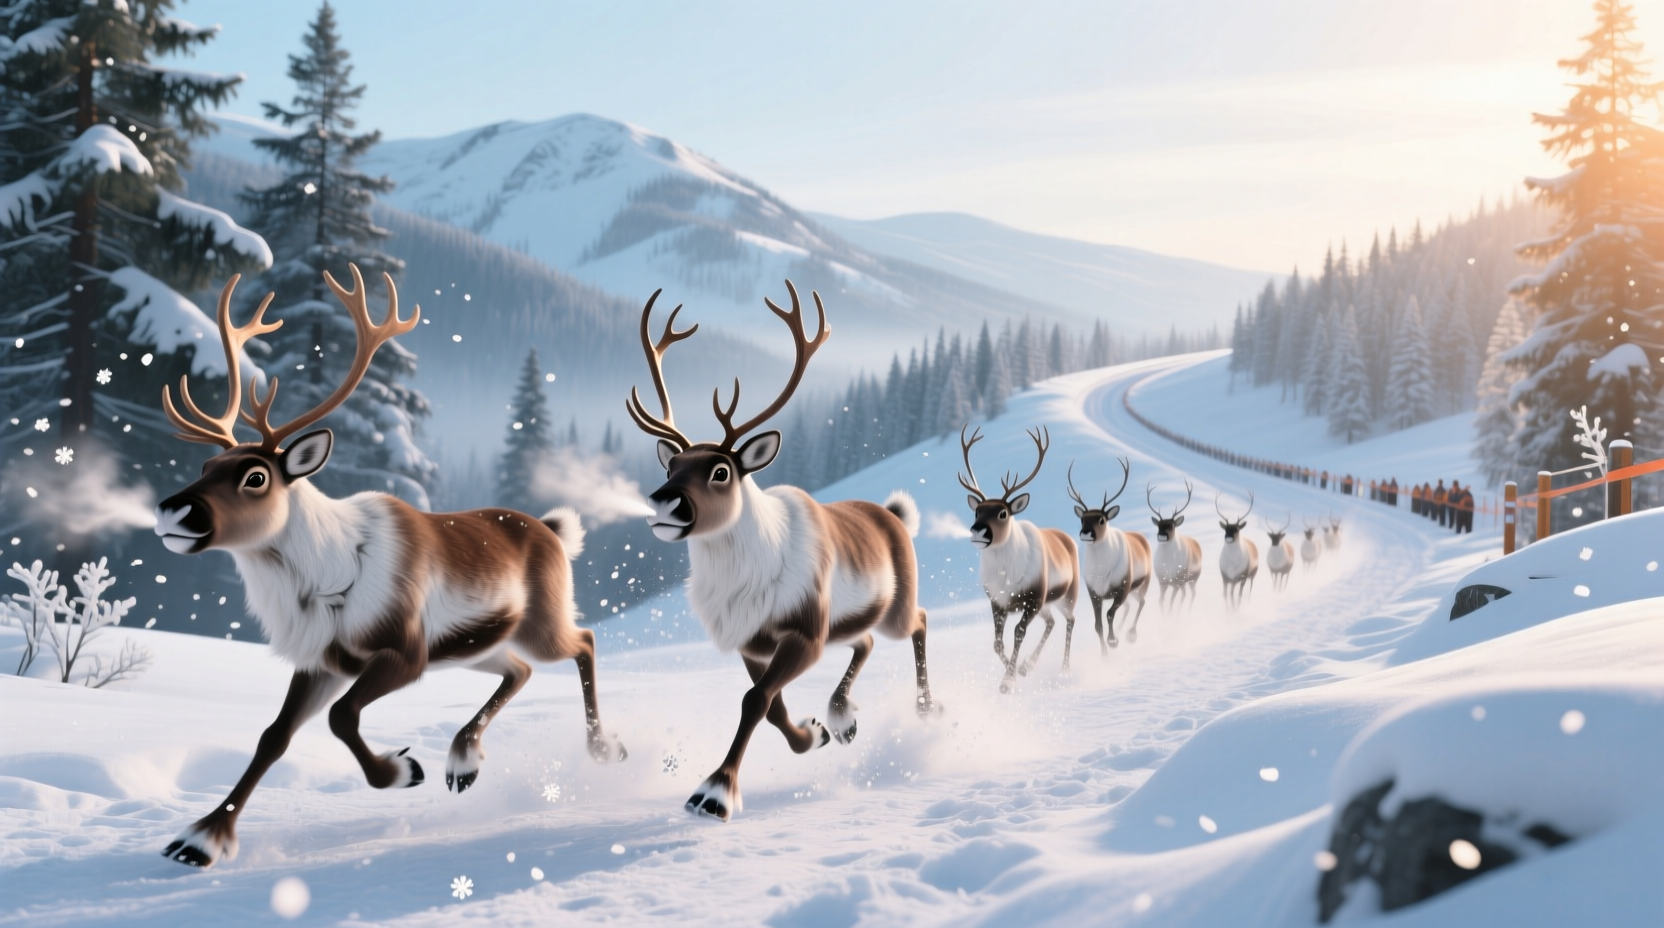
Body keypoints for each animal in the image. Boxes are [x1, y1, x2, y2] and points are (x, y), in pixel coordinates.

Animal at [151, 267, 623, 869]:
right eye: (207, 464)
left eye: (255, 476)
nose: (172, 510)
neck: (323, 574)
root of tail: (554, 530)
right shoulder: (320, 662)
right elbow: (273, 736)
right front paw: (200, 839)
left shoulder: (404, 651)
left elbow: (340, 717)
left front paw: (402, 769)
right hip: (478, 647)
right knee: (520, 671)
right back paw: (464, 761)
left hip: (539, 622)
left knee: (583, 641)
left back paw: (601, 749)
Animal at [627, 281, 937, 823]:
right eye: (672, 466)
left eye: (720, 471)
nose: (663, 501)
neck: (742, 577)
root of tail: (894, 516)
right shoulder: (752, 642)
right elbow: (770, 704)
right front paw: (813, 735)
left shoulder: (805, 632)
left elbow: (754, 701)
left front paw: (714, 794)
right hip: (850, 618)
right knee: (864, 641)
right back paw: (842, 718)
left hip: (894, 607)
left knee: (917, 620)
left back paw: (921, 709)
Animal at [959, 425, 1080, 692]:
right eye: (977, 510)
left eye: (1003, 513)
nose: (978, 531)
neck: (1006, 576)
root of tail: (1067, 539)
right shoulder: (997, 602)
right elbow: (997, 643)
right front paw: (1016, 672)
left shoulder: (1034, 597)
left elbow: (1018, 633)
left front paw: (1008, 681)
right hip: (1047, 604)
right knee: (1051, 622)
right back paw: (1028, 665)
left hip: (1066, 595)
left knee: (1070, 620)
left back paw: (1065, 669)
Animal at [1066, 458, 1151, 651]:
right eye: (1082, 519)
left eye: (1101, 520)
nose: (1086, 533)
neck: (1101, 571)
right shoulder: (1094, 593)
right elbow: (1098, 625)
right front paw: (1104, 653)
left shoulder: (1122, 588)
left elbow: (1110, 613)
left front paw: (1113, 641)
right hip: (1132, 591)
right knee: (1131, 605)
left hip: (1142, 584)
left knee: (1141, 602)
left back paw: (1130, 634)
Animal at [1147, 481, 1203, 610]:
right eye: (1159, 526)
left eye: (1172, 526)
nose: (1162, 535)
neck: (1168, 563)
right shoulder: (1162, 580)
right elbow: (1161, 601)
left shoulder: (1177, 580)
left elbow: (1171, 602)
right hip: (1183, 582)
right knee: (1185, 594)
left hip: (1193, 578)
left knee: (1192, 593)